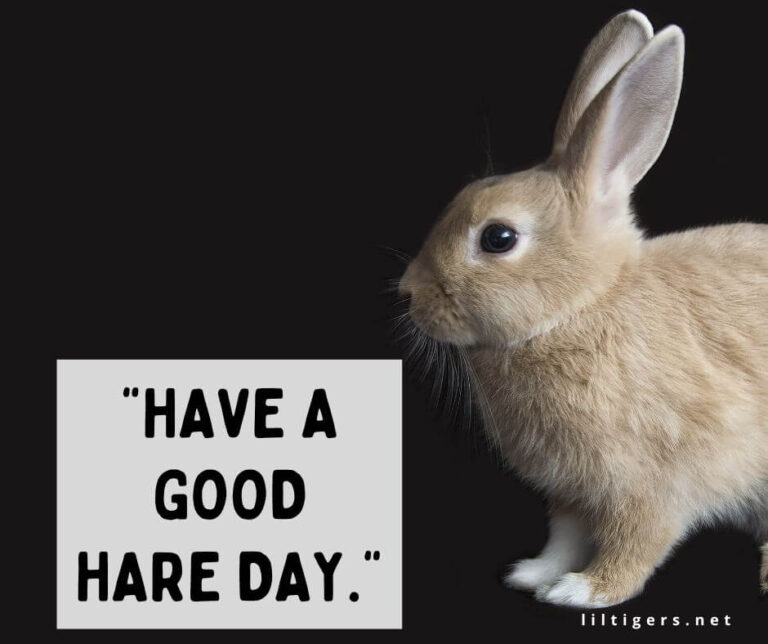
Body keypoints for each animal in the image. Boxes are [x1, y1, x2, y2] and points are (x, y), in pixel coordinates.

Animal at [399, 9, 768, 608]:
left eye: (498, 238)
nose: (408, 294)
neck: (580, 307)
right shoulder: (571, 489)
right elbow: (565, 535)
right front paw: (533, 574)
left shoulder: (656, 484)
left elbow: (636, 544)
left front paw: (582, 591)